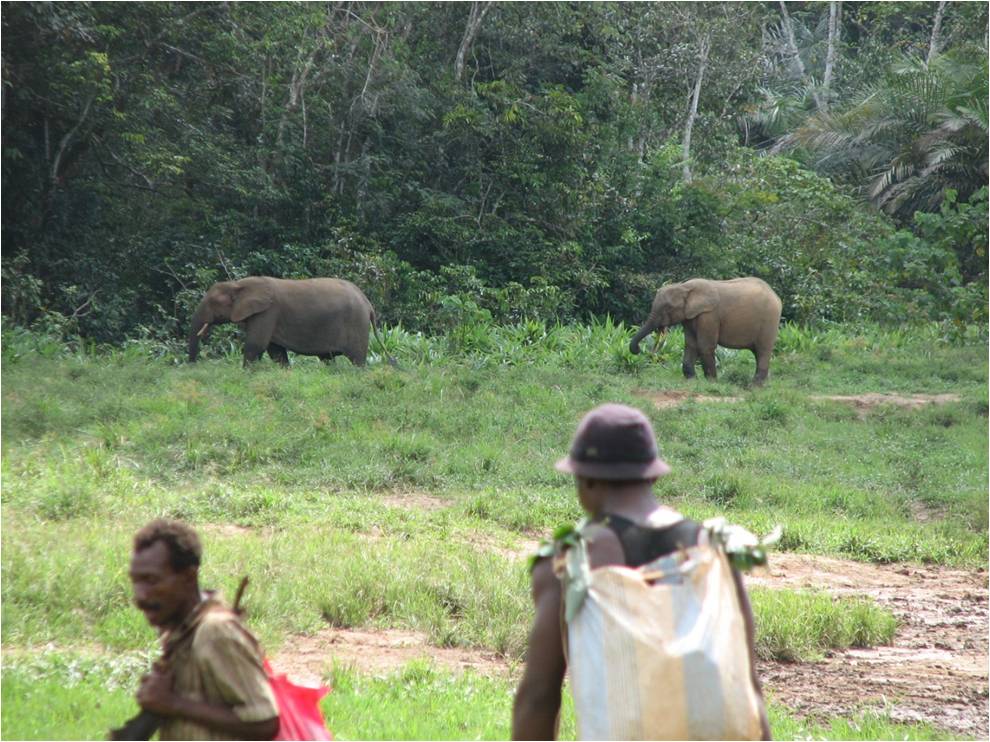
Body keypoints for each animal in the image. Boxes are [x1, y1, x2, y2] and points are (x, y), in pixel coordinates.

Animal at [188, 276, 395, 367]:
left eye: (213, 302)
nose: (193, 365)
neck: (238, 284)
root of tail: (368, 303)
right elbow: (275, 351)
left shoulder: (267, 313)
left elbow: (256, 345)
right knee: (328, 359)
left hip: (356, 323)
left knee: (357, 360)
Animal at [629, 277, 782, 385]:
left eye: (668, 308)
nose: (638, 350)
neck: (684, 287)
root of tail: (775, 295)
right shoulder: (690, 317)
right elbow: (691, 345)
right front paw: (691, 380)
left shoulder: (709, 315)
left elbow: (705, 346)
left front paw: (712, 383)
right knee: (758, 352)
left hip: (769, 320)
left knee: (763, 350)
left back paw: (754, 387)